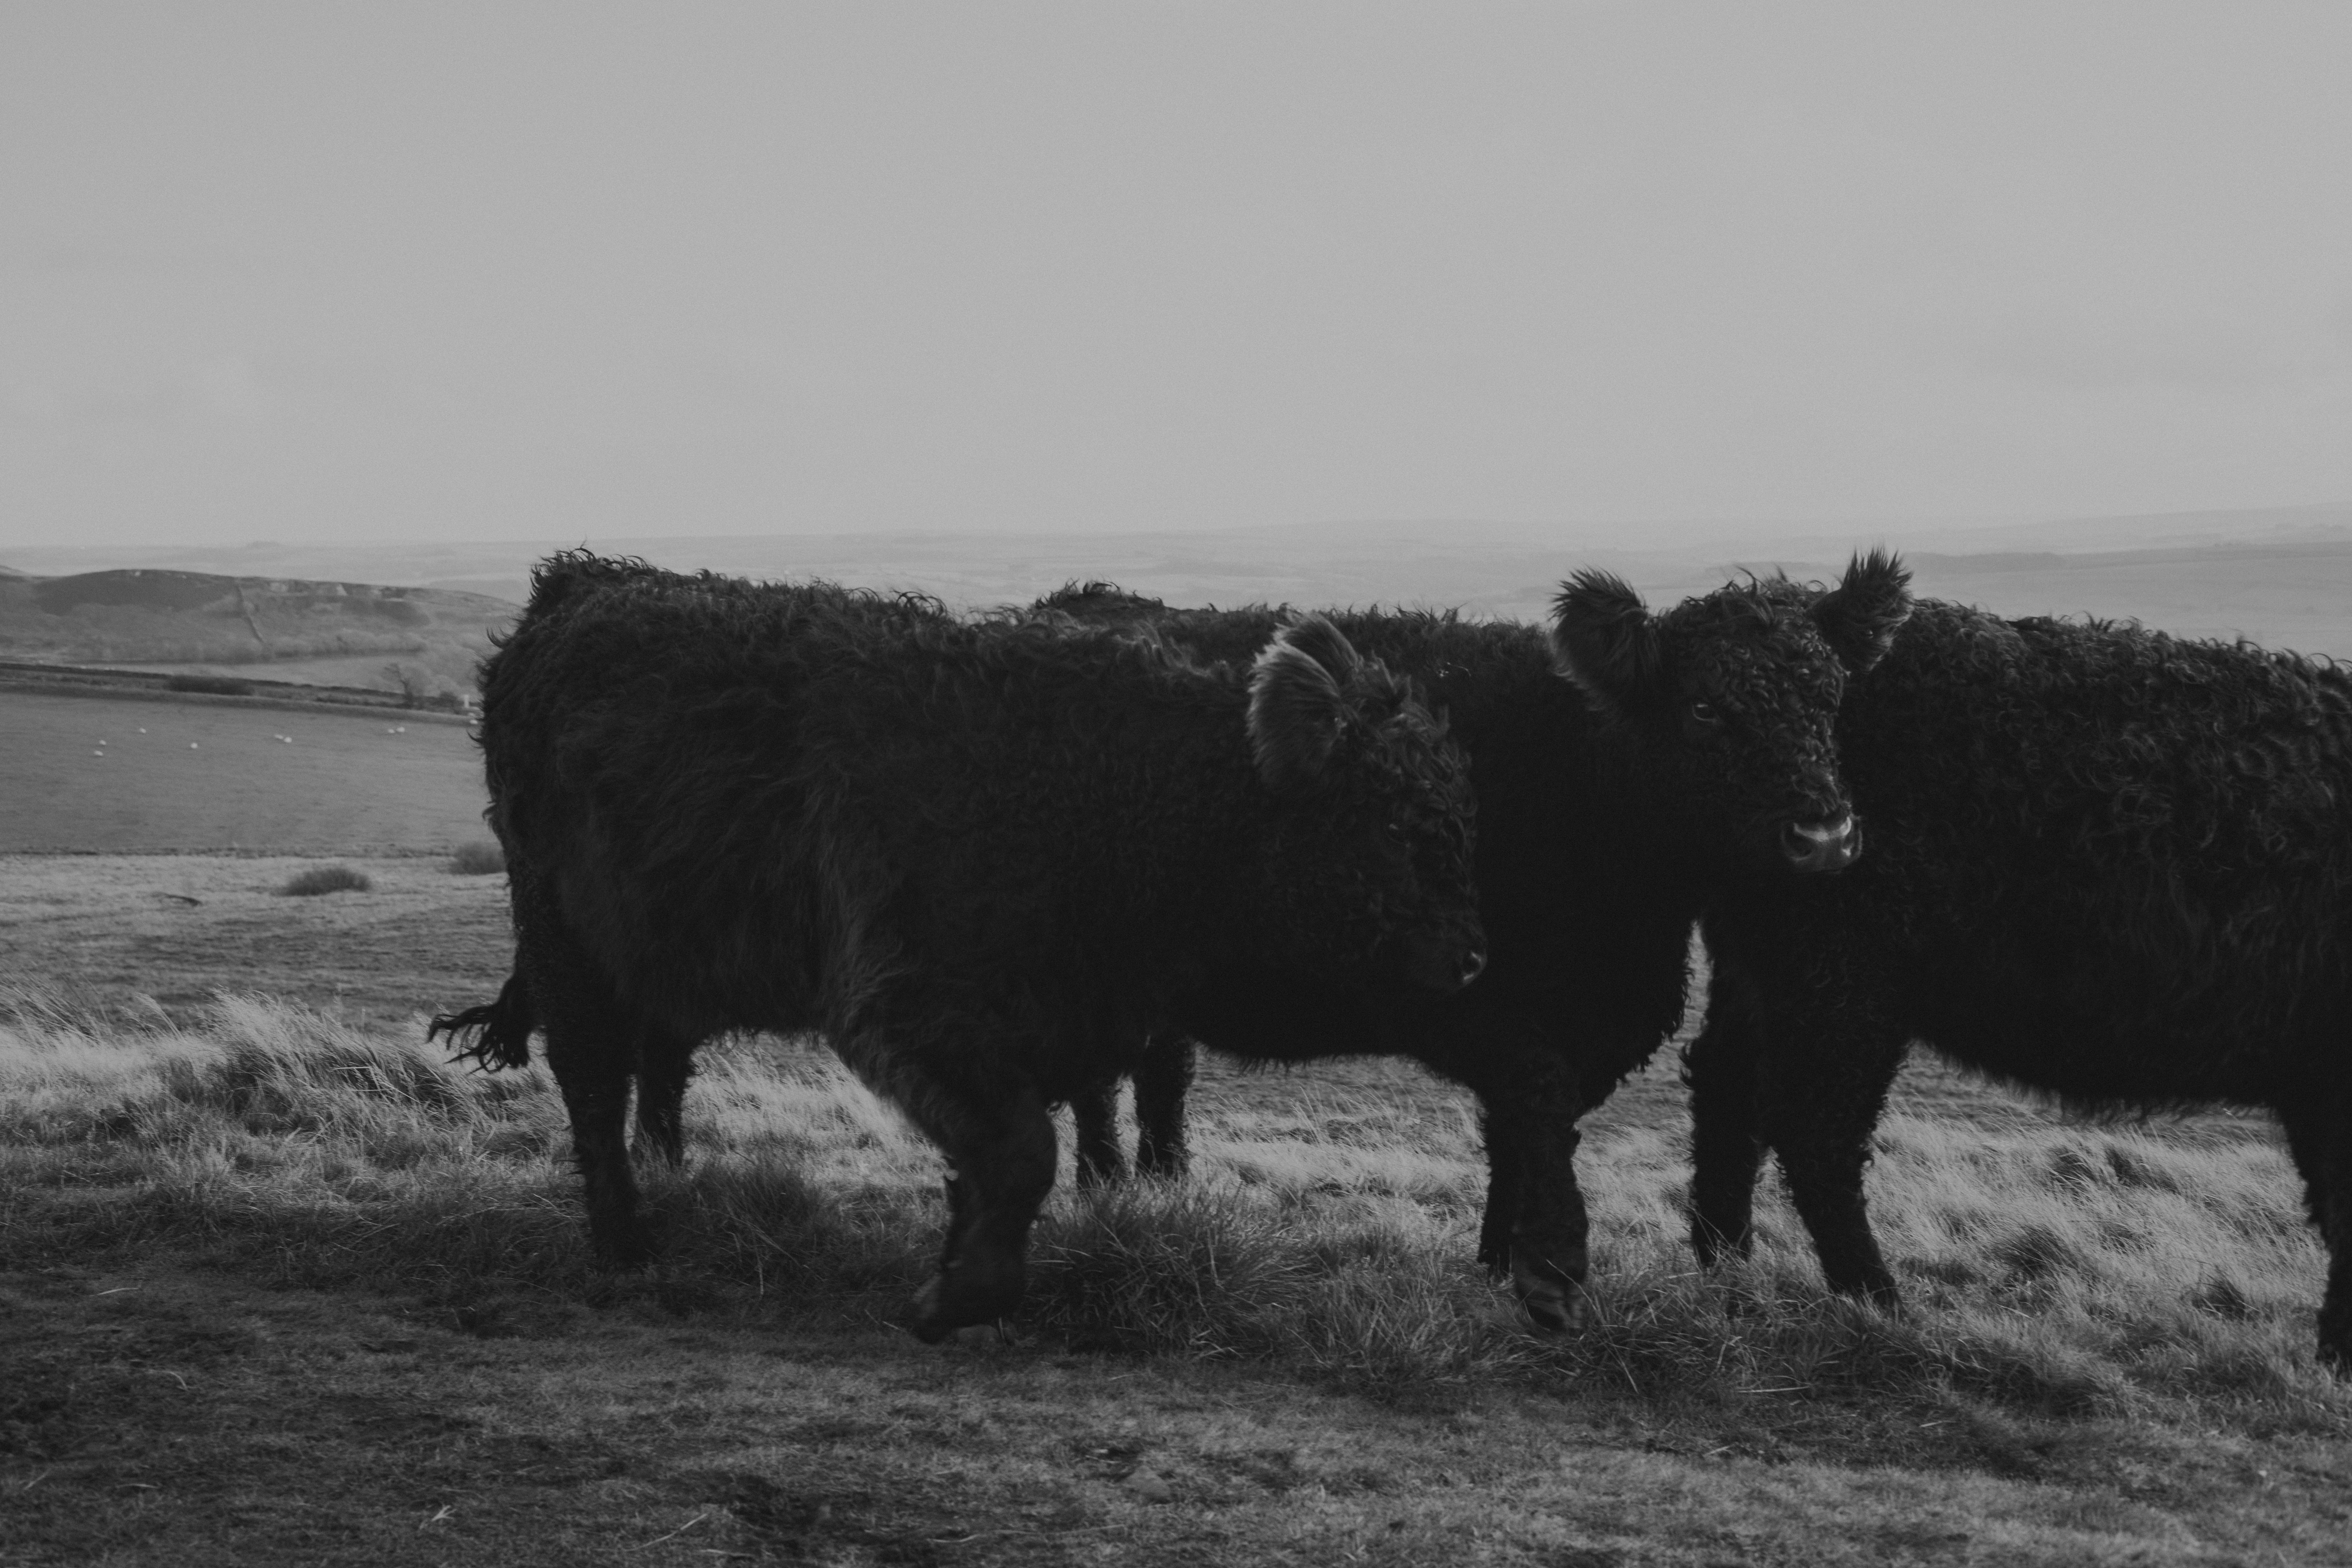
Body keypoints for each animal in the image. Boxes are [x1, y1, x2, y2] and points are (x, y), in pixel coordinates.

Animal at [430, 552, 1485, 1342]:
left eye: (1451, 812)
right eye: (1393, 829)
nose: (1472, 960)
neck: (1113, 785)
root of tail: (579, 582)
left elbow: (1015, 1154)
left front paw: (962, 1269)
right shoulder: (908, 1006)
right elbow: (1022, 1153)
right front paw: (952, 1298)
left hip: (663, 950)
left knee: (659, 1063)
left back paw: (672, 1173)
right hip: (568, 943)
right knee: (591, 1078)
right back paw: (626, 1238)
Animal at [1034, 555, 1915, 1325]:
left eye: (1832, 699)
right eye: (1703, 708)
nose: (1824, 834)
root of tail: (1079, 597)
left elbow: (1519, 1143)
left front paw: (1496, 1263)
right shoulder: (1470, 1001)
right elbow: (1533, 1114)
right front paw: (1545, 1270)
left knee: (1158, 1072)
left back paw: (1157, 1190)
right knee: (1103, 1081)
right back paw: (1105, 1190)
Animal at [1683, 598, 2352, 1371]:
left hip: (1769, 973)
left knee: (1727, 1089)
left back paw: (1729, 1277)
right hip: (1841, 981)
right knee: (1815, 1132)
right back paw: (1879, 1306)